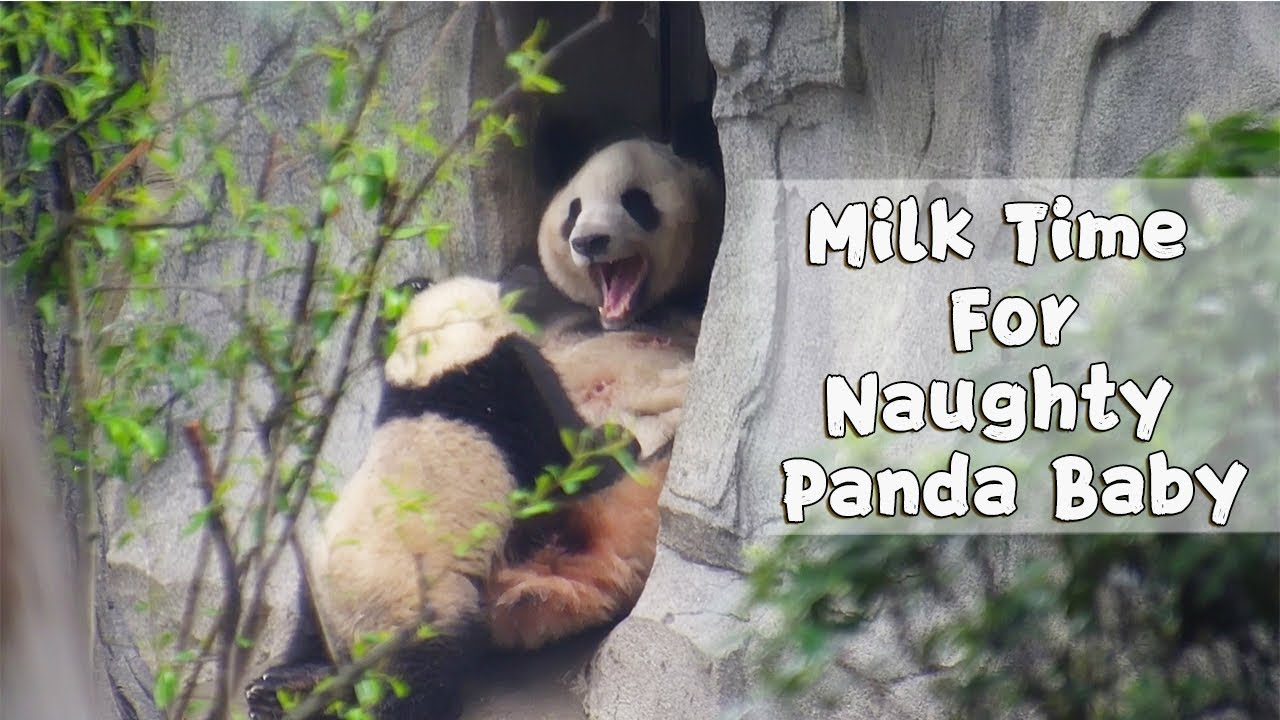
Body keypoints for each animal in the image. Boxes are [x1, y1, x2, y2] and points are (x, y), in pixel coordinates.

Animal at [246, 276, 641, 720]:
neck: (436, 363)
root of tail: (352, 636)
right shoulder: (505, 388)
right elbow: (564, 463)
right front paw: (618, 442)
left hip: (318, 591)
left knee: (308, 639)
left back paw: (284, 689)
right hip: (419, 608)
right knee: (416, 682)